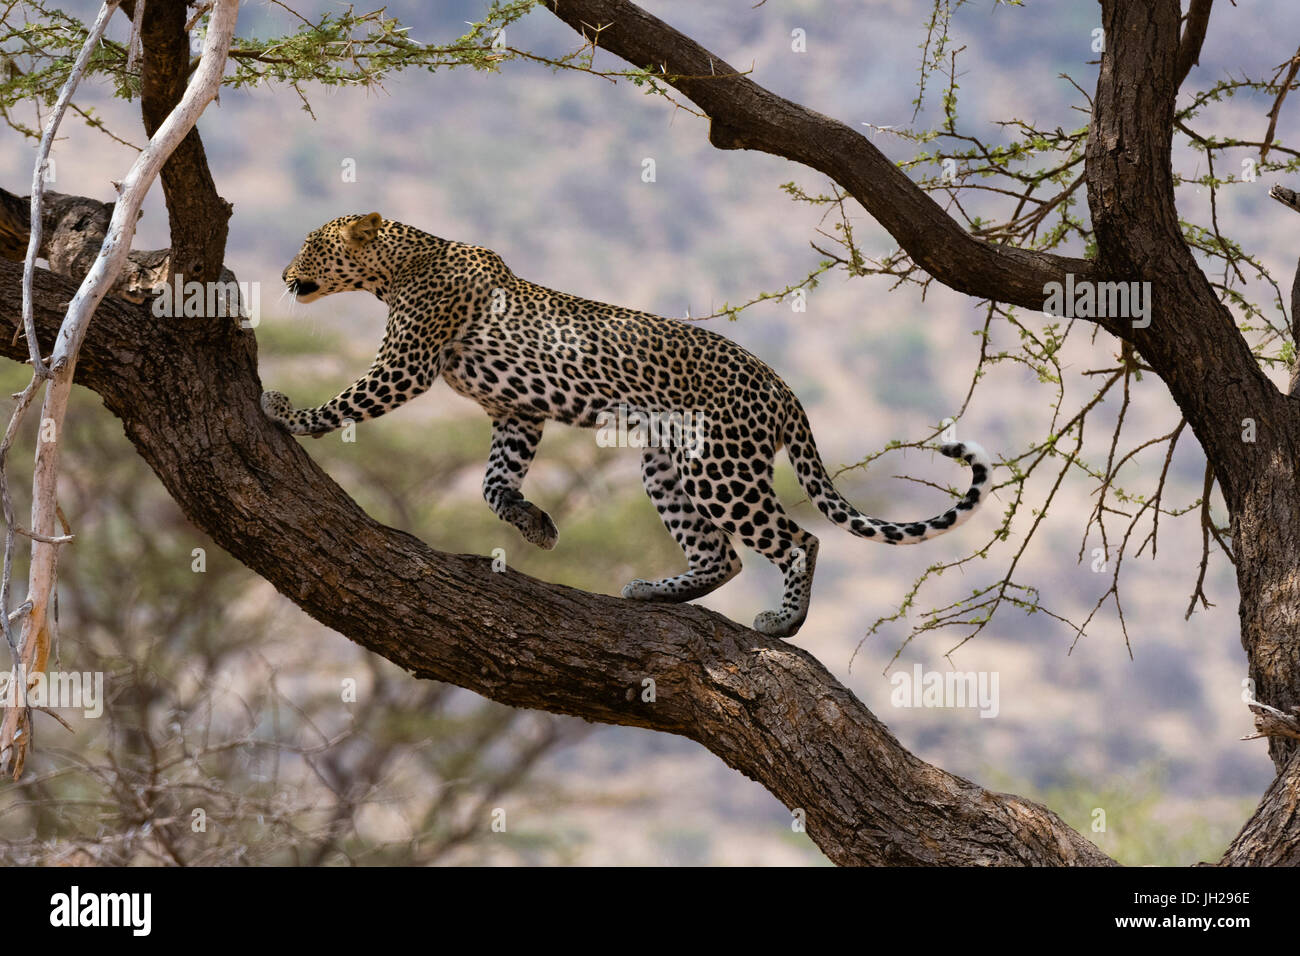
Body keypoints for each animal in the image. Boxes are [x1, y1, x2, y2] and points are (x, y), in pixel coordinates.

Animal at [261, 212, 992, 638]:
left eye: (310, 245)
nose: (283, 271)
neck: (399, 264)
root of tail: (781, 387)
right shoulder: (517, 413)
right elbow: (494, 483)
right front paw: (537, 525)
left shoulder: (407, 362)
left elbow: (349, 401)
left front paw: (288, 414)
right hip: (667, 463)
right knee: (722, 554)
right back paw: (653, 593)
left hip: (722, 464)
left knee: (796, 540)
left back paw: (784, 622)